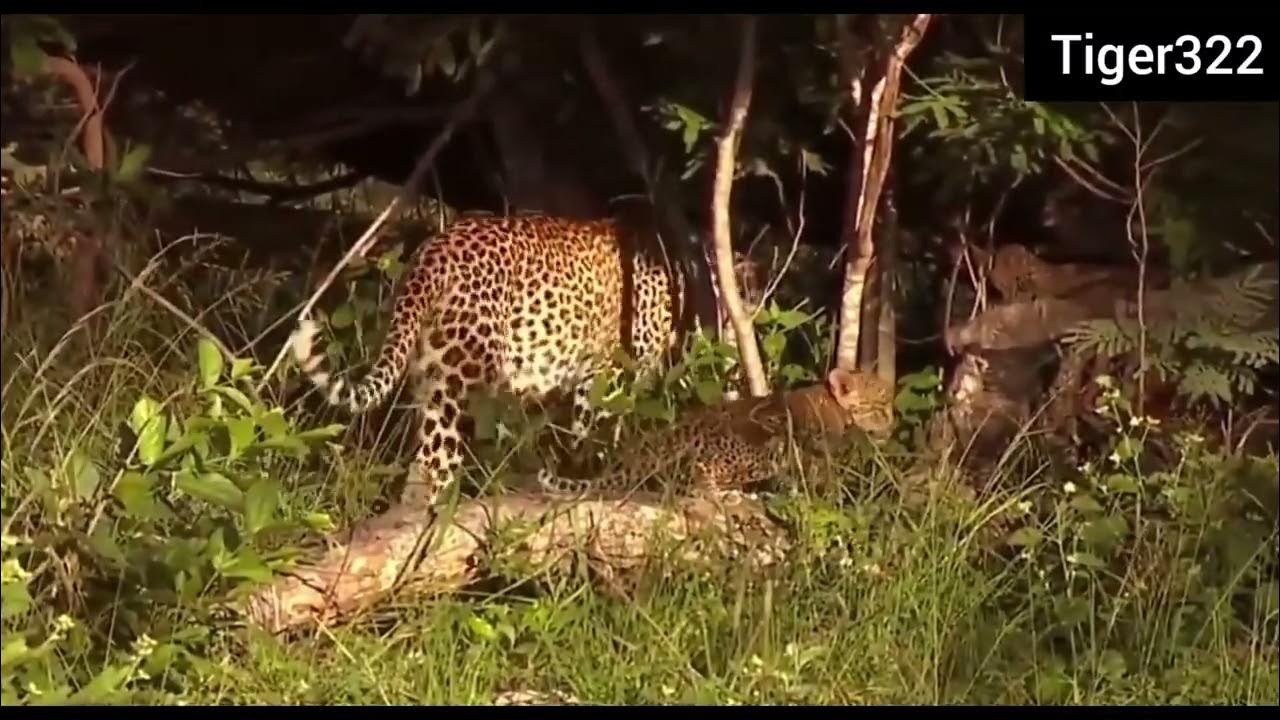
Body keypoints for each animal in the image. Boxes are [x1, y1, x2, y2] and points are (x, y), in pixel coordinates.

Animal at [290, 212, 697, 511]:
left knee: (421, 467)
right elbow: (597, 430)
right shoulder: (605, 374)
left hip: (429, 376)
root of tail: (434, 251)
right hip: (458, 381)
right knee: (437, 462)